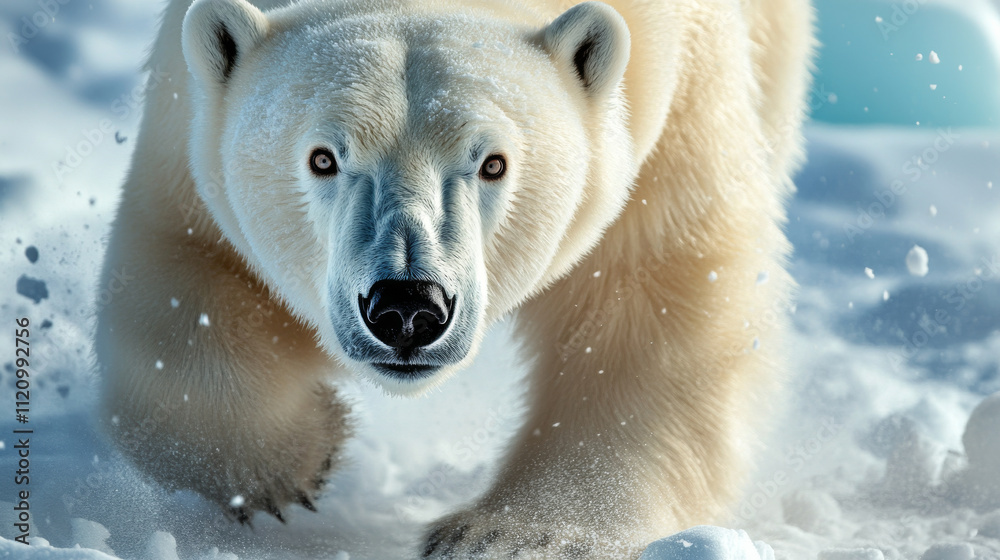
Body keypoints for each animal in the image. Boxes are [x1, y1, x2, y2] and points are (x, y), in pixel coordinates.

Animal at [95, 0, 814, 557]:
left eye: (493, 163)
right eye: (323, 158)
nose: (407, 308)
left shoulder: (676, 101)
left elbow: (653, 303)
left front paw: (513, 535)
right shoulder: (184, 117)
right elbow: (181, 273)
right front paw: (293, 460)